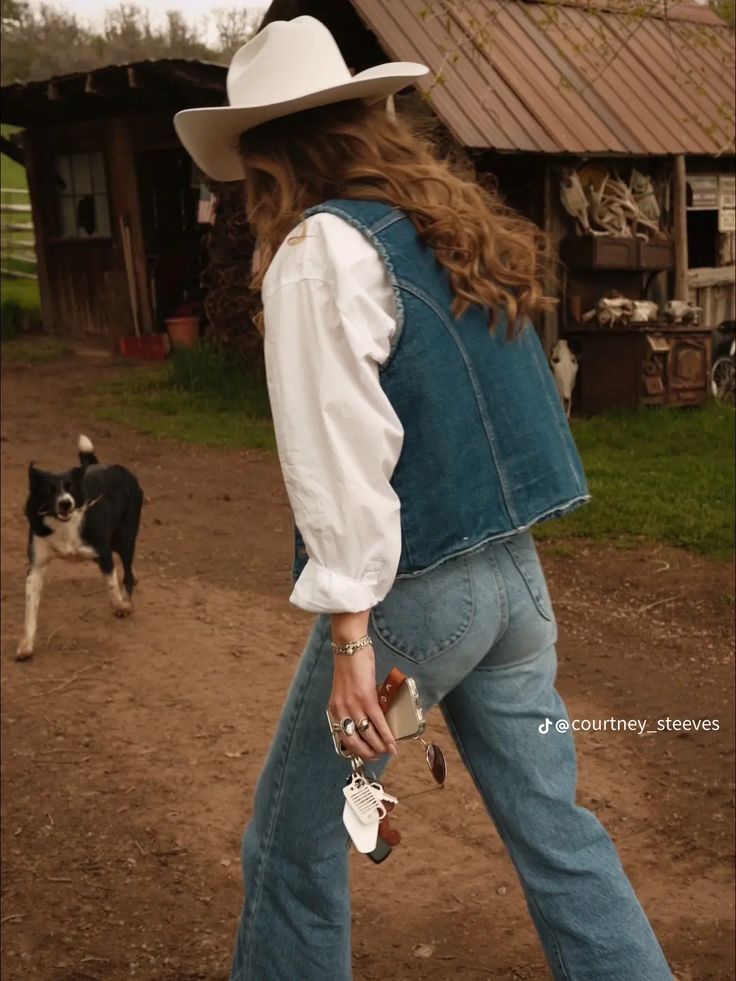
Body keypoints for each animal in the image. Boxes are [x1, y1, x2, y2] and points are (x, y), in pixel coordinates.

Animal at [18, 434, 144, 660]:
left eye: (70, 488)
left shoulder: (103, 554)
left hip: (125, 535)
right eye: (50, 489)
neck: (64, 526)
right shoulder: (36, 566)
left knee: (127, 572)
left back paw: (128, 597)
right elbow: (30, 610)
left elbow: (112, 589)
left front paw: (122, 605)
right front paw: (26, 645)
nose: (66, 503)